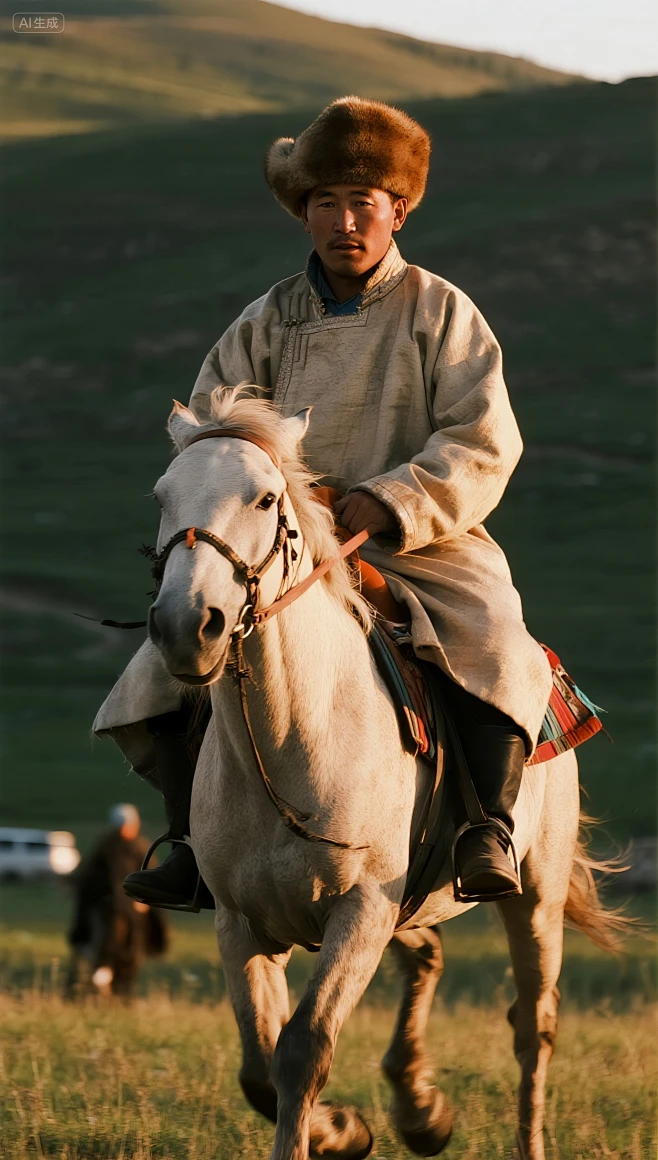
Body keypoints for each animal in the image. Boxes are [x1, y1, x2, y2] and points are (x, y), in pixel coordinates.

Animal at [146, 385, 624, 1160]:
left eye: (265, 498)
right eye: (163, 495)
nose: (189, 626)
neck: (292, 741)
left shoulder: (362, 911)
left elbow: (301, 1050)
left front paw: (332, 1130)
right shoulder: (241, 923)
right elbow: (259, 1066)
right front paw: (344, 1130)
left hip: (536, 896)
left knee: (535, 1027)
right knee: (427, 958)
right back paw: (419, 1108)